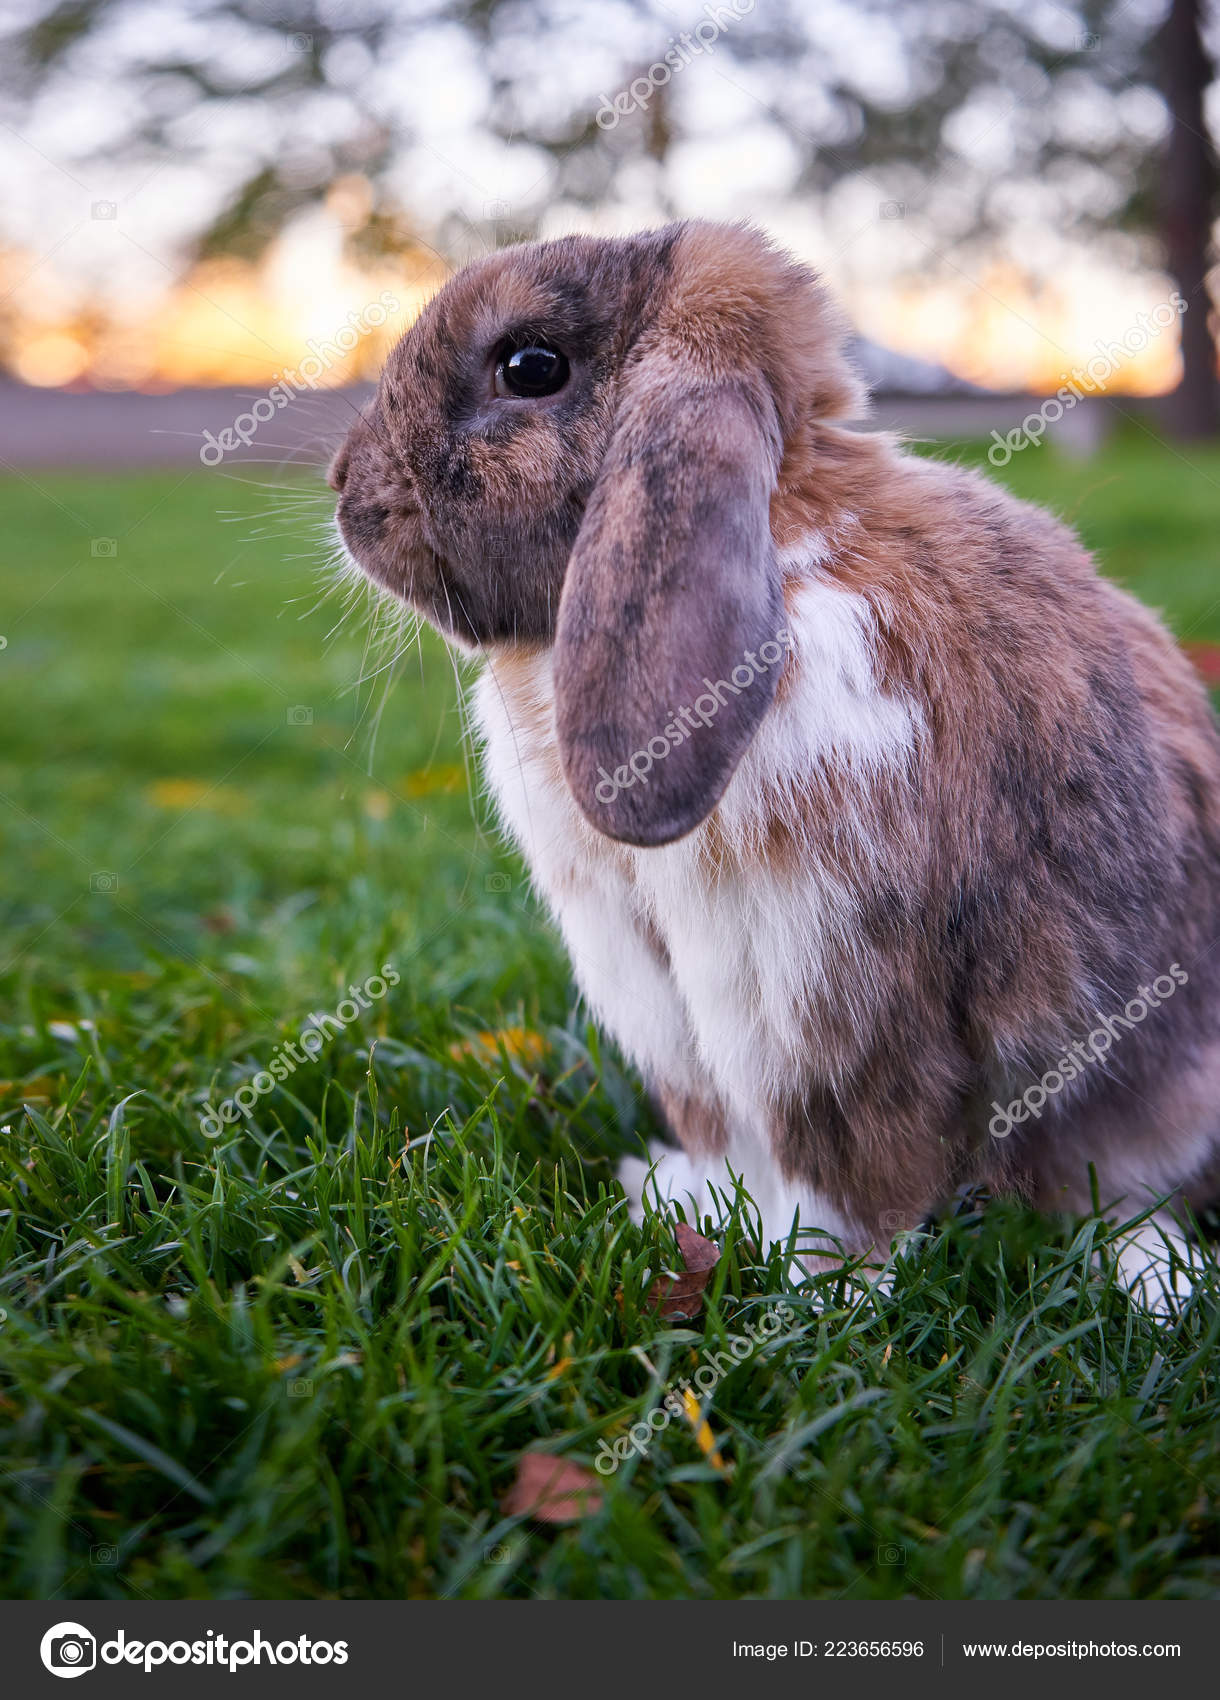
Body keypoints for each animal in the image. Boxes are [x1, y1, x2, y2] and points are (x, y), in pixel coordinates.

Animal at [330, 219, 1220, 1314]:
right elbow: (725, 1138)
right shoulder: (674, 1010)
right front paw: (680, 1194)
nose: (344, 487)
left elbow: (858, 1176)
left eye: (530, 366)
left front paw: (815, 1286)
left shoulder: (825, 1005)